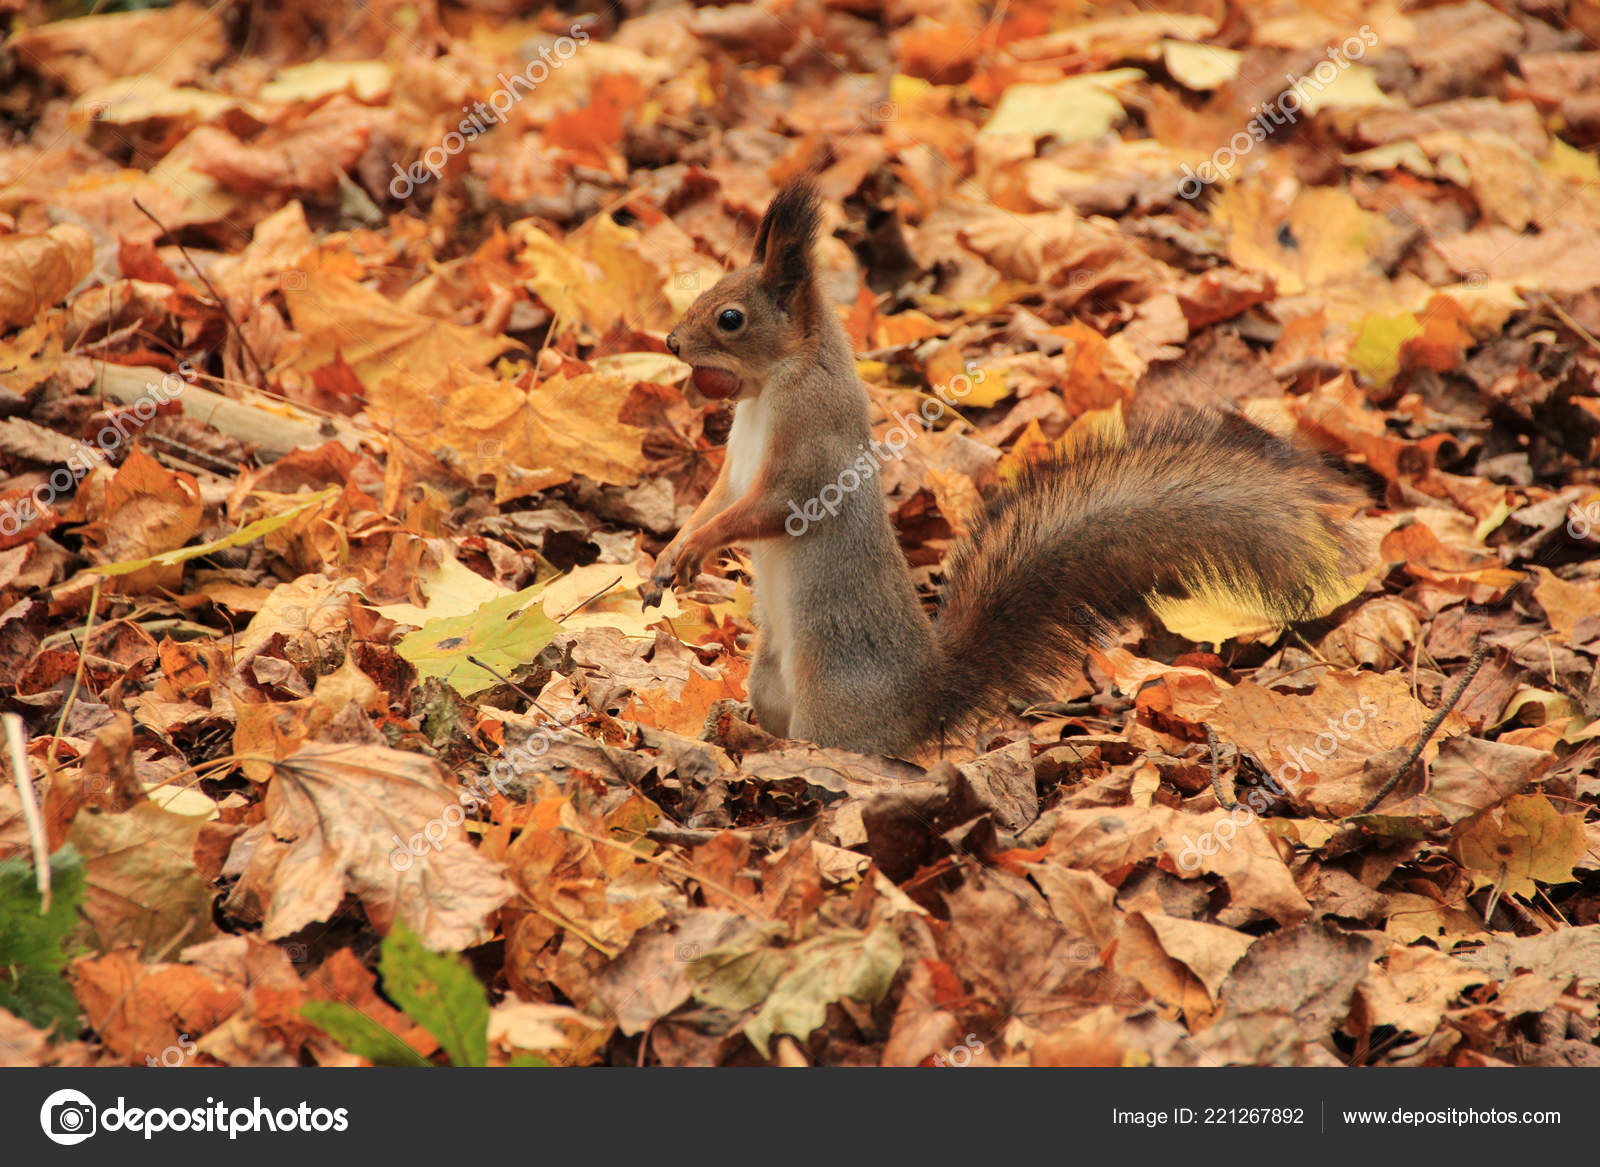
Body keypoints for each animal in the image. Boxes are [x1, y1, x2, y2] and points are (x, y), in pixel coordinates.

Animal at [642, 179, 1365, 756]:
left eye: (730, 317)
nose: (671, 342)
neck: (771, 386)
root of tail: (925, 696)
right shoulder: (736, 465)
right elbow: (718, 499)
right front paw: (675, 547)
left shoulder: (810, 450)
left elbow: (770, 507)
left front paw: (697, 547)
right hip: (770, 679)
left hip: (832, 694)